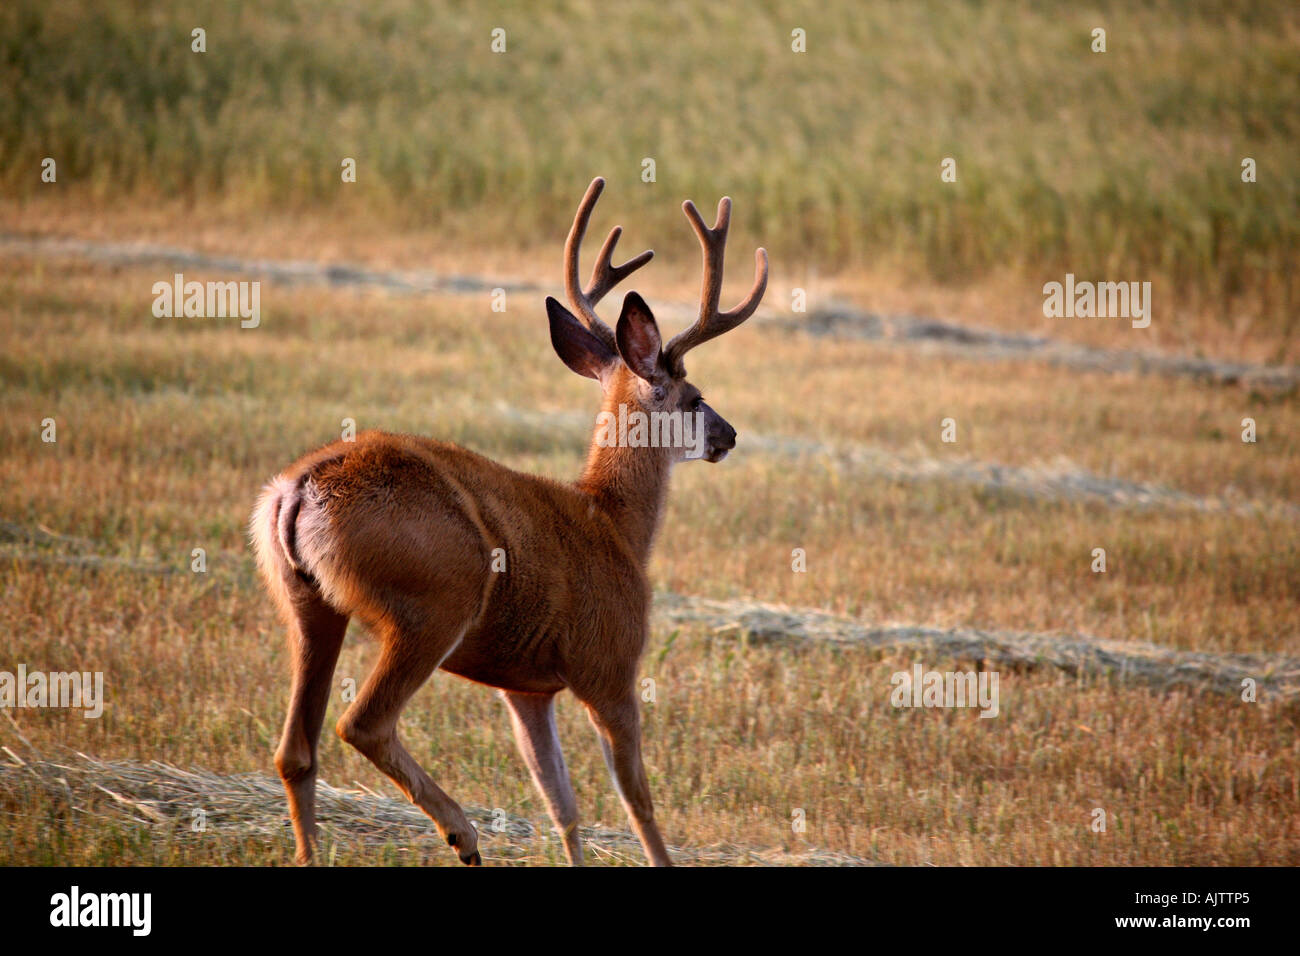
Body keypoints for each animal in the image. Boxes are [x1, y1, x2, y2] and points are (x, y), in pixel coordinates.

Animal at [250, 177, 767, 867]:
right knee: (361, 722)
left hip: (306, 604)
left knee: (295, 751)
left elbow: (562, 804)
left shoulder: (527, 686)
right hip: (435, 600)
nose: (729, 435)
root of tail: (296, 491)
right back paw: (462, 833)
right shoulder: (610, 663)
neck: (618, 528)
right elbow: (640, 804)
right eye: (693, 399)